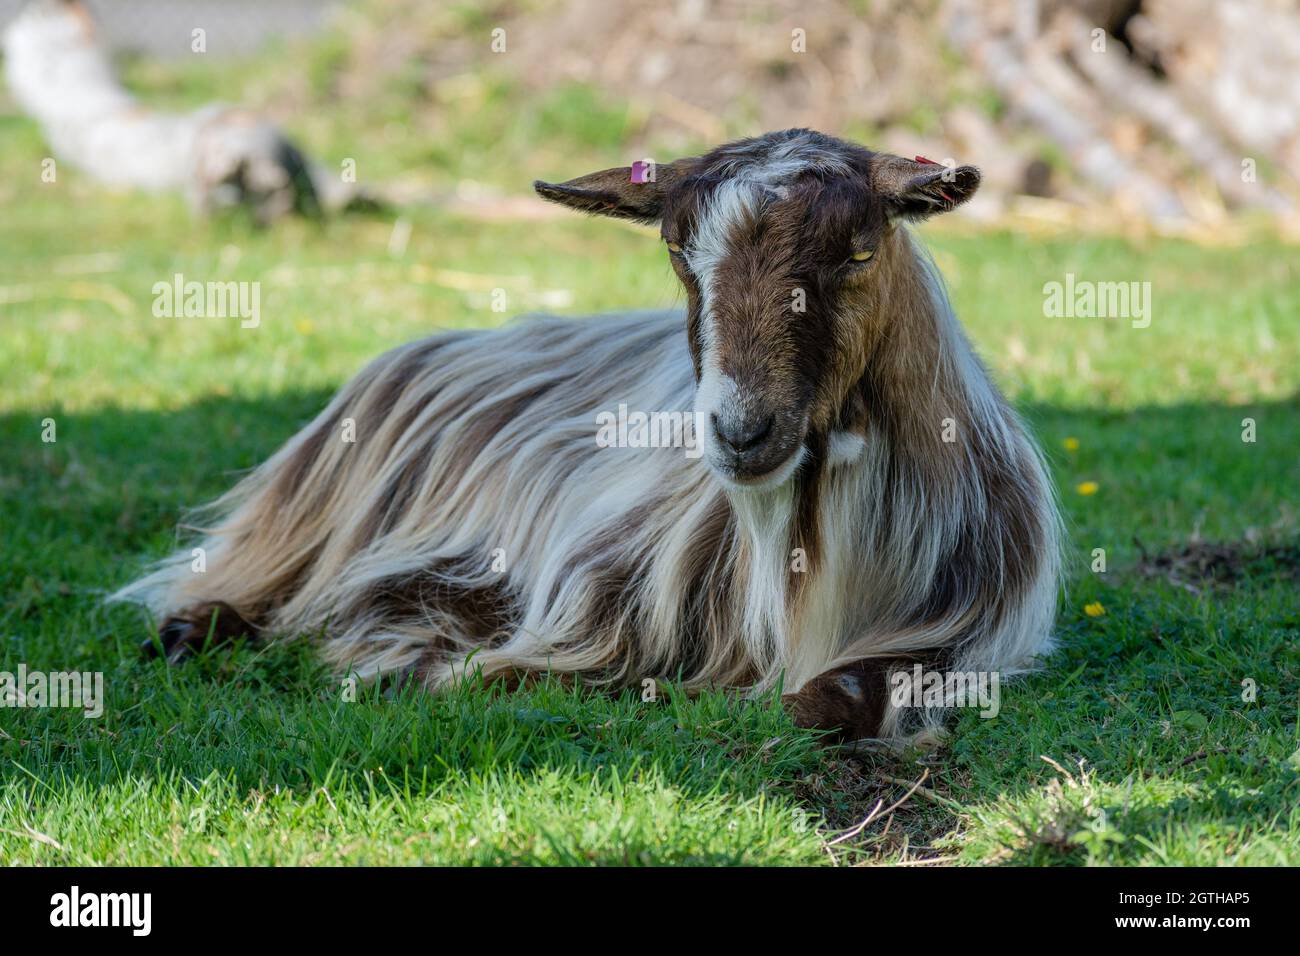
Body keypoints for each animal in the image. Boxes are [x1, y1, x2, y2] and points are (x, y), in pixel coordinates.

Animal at [115, 129, 1061, 742]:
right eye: (678, 253)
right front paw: (416, 659)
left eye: (861, 252)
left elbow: (826, 704)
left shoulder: (967, 641)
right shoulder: (588, 584)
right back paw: (195, 631)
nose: (741, 431)